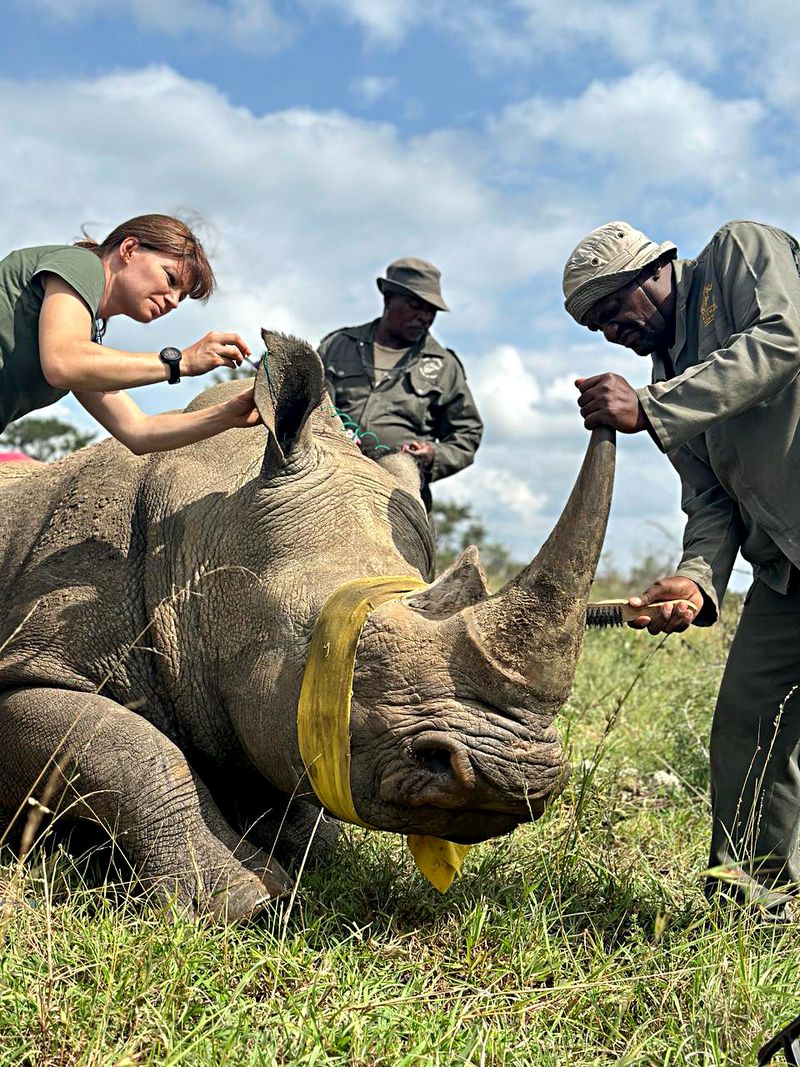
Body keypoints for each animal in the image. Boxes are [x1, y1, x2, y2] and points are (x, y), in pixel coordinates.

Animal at [0, 332, 615, 919]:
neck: (199, 537)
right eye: (356, 656)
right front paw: (248, 902)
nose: (511, 779)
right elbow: (126, 745)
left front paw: (311, 858)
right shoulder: (36, 657)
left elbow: (291, 795)